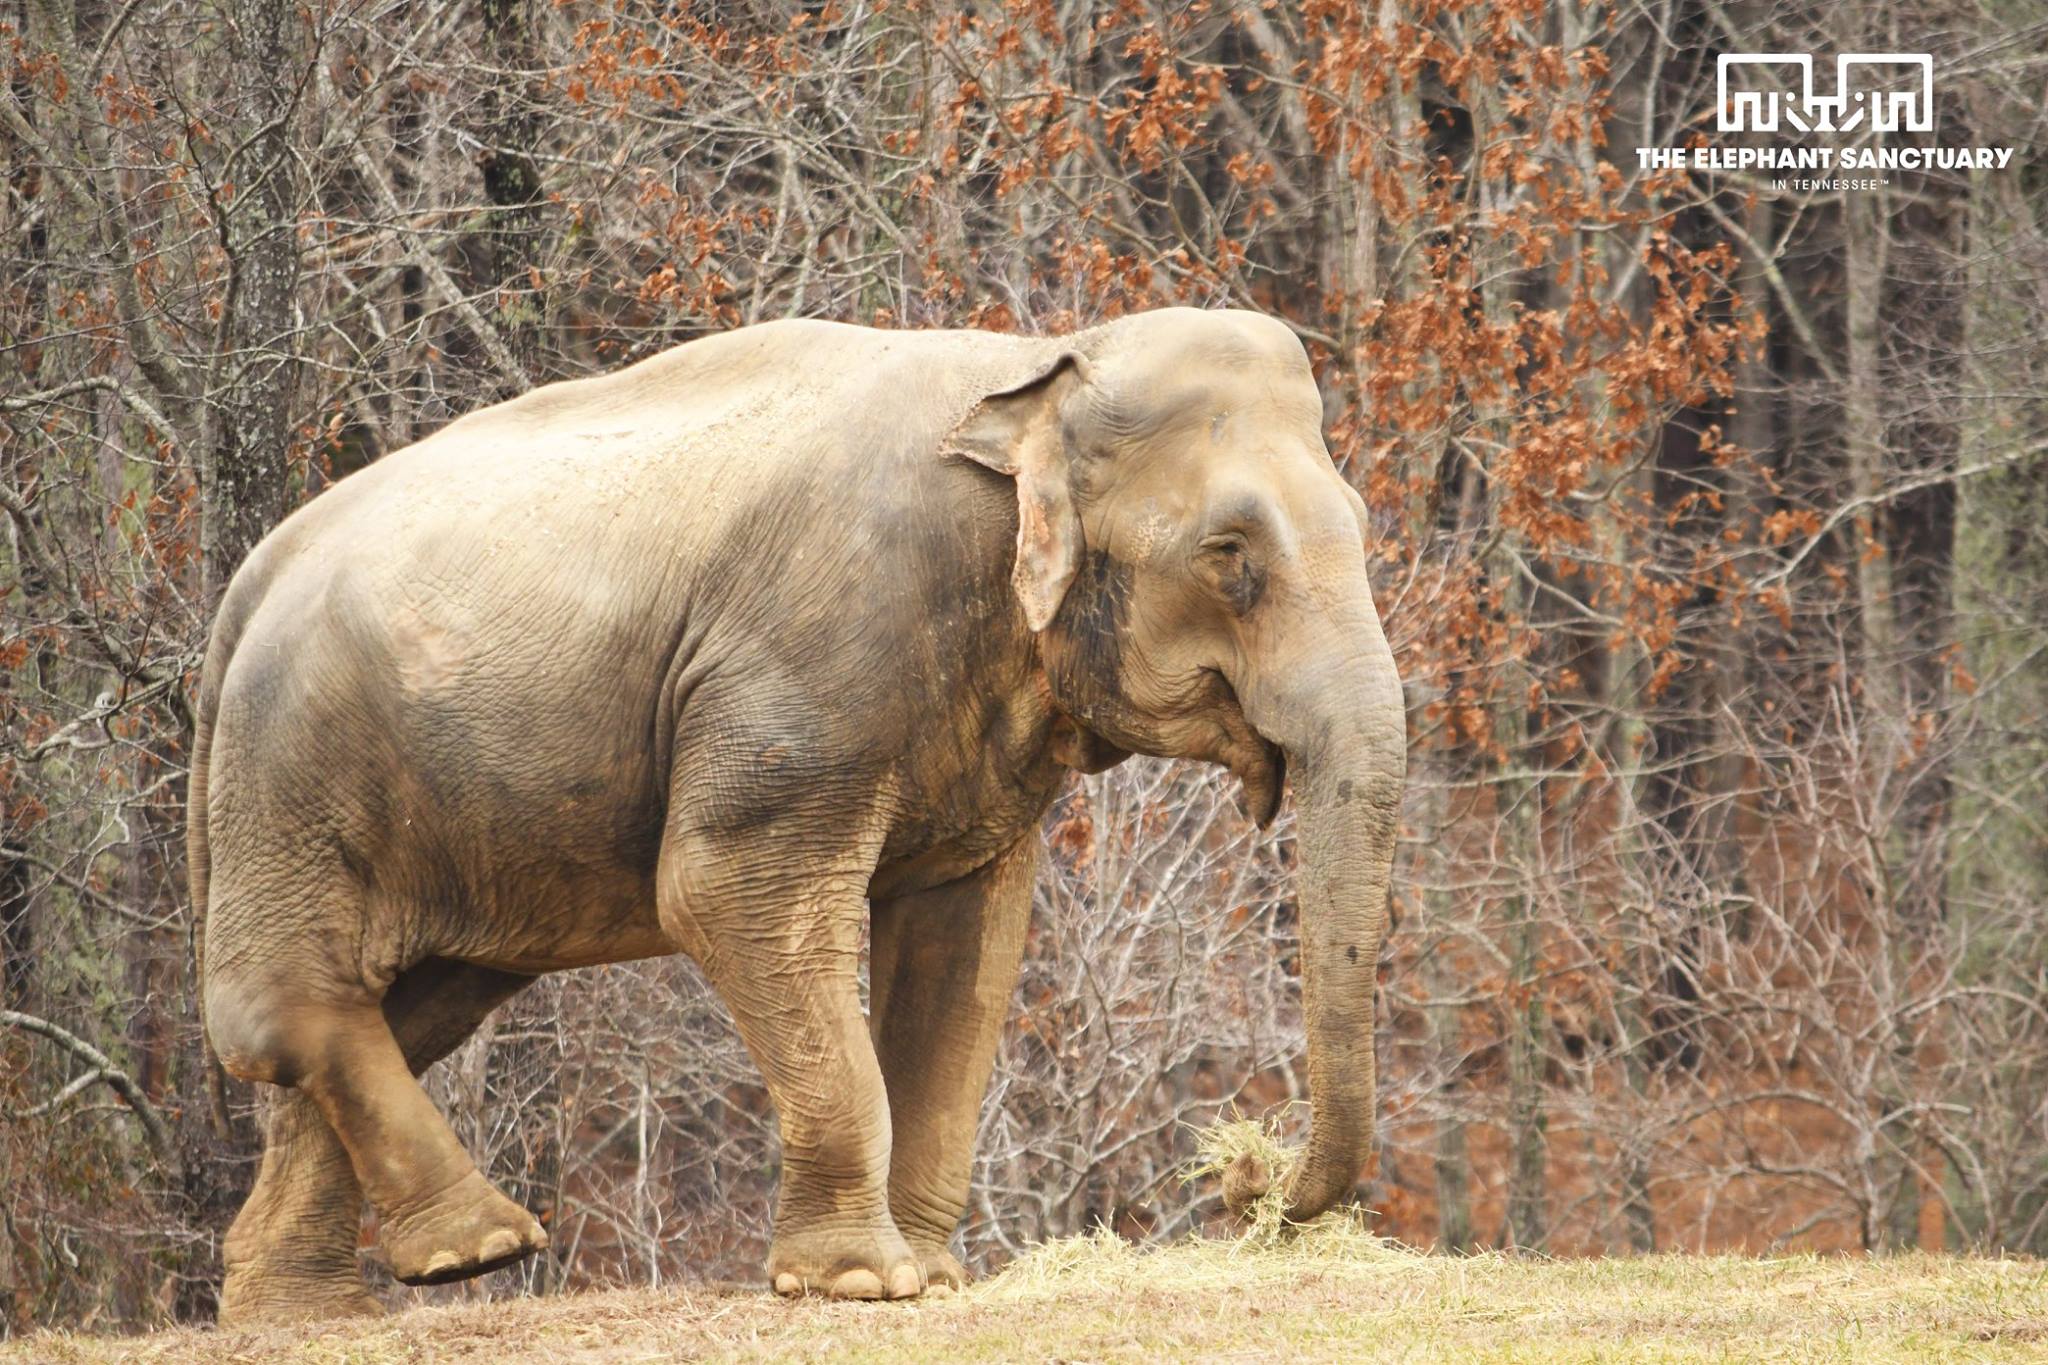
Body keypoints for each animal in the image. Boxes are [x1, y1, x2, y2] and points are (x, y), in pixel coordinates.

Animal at [190, 306, 1406, 1325]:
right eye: (1230, 555)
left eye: (1356, 522)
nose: (1246, 1175)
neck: (1031, 366)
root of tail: (249, 579)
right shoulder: (804, 667)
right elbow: (721, 893)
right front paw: (860, 1283)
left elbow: (962, 947)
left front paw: (934, 1276)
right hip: (299, 766)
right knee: (288, 1001)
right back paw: (480, 1249)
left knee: (415, 1004)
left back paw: (309, 1310)